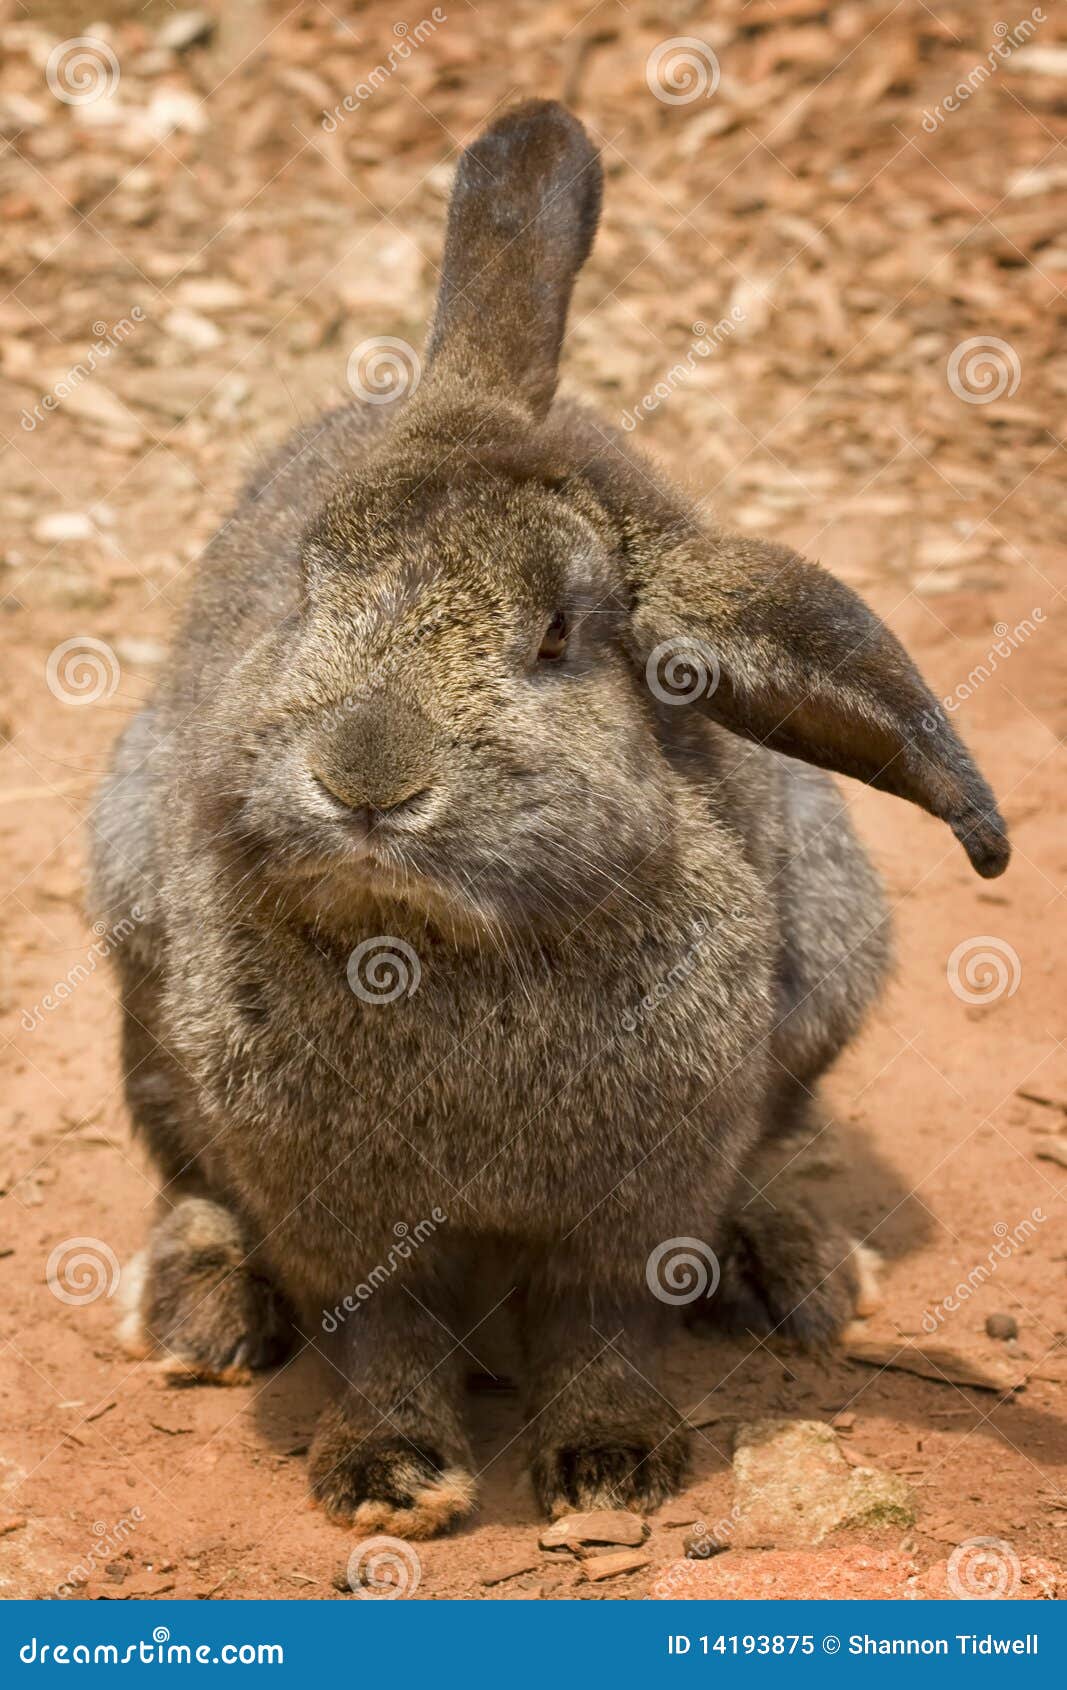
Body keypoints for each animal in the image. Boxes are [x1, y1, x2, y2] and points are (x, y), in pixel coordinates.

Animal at [89, 99, 1009, 1537]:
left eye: (561, 635)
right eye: (305, 587)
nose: (365, 776)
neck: (427, 946)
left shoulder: (633, 1208)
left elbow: (599, 1326)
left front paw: (608, 1464)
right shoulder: (342, 1221)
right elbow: (382, 1335)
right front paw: (390, 1480)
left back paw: (796, 1272)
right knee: (182, 1161)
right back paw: (200, 1312)